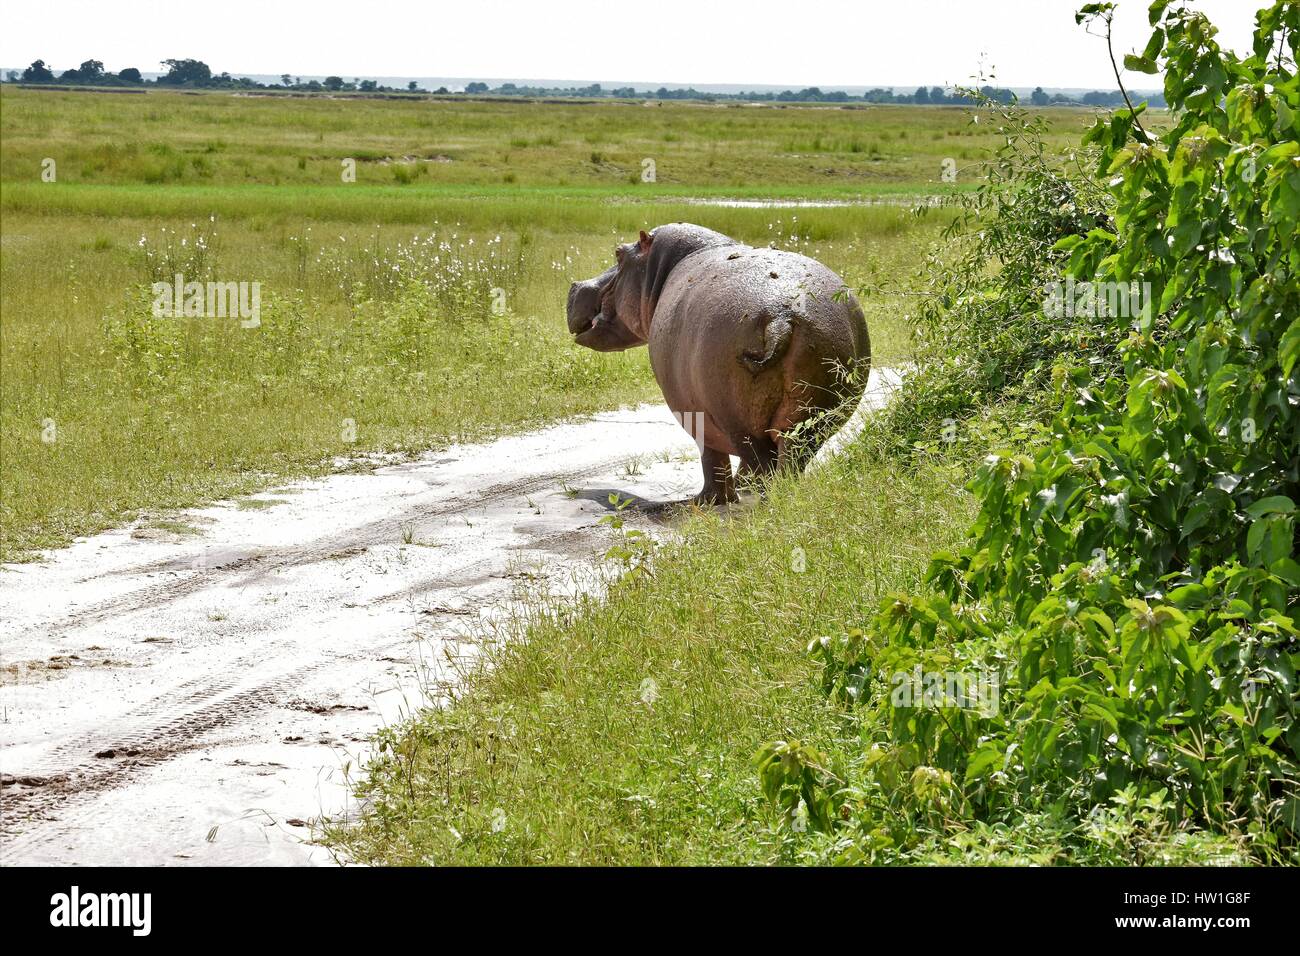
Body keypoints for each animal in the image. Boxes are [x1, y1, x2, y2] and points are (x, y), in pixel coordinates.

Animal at [567, 223, 870, 504]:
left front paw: (708, 501)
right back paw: (778, 496)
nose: (574, 285)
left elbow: (711, 456)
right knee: (789, 459)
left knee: (759, 460)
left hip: (732, 415)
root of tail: (782, 316)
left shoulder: (694, 413)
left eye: (618, 253)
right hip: (812, 421)